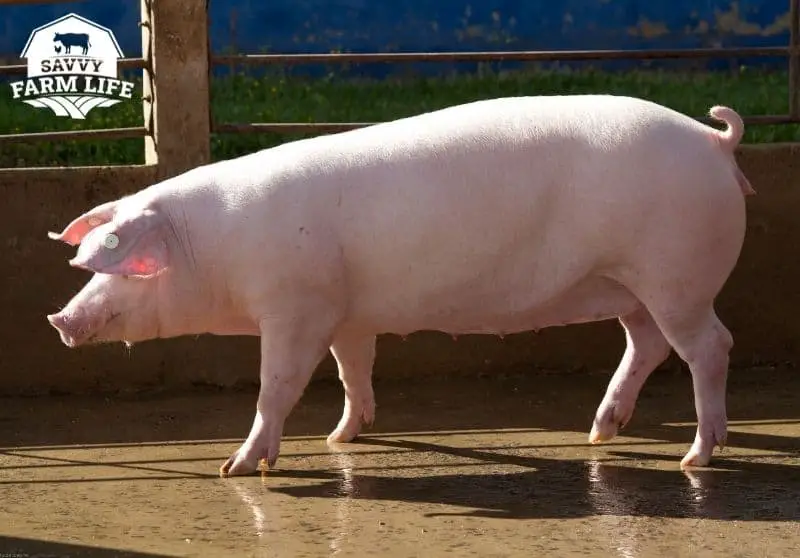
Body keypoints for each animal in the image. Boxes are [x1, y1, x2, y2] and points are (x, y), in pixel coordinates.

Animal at [46, 94, 754, 477]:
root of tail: (714, 142)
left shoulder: (297, 306)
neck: (215, 246)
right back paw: (599, 433)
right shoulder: (347, 311)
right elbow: (352, 370)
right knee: (647, 344)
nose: (60, 319)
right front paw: (341, 437)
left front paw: (235, 467)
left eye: (116, 262)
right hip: (629, 284)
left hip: (677, 275)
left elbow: (278, 383)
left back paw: (695, 458)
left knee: (711, 347)